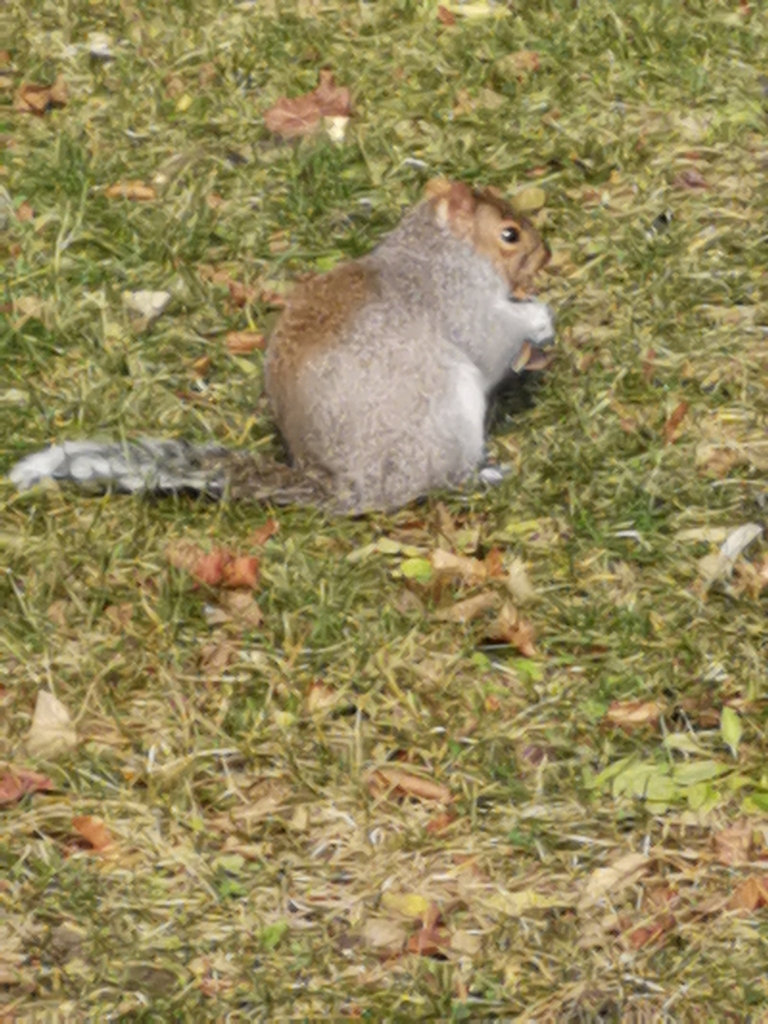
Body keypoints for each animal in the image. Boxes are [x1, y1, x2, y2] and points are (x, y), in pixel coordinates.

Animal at [9, 179, 554, 514]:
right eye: (509, 234)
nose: (546, 254)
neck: (441, 251)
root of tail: (349, 486)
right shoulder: (458, 301)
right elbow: (491, 340)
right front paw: (540, 317)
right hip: (448, 421)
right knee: (442, 482)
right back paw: (483, 476)